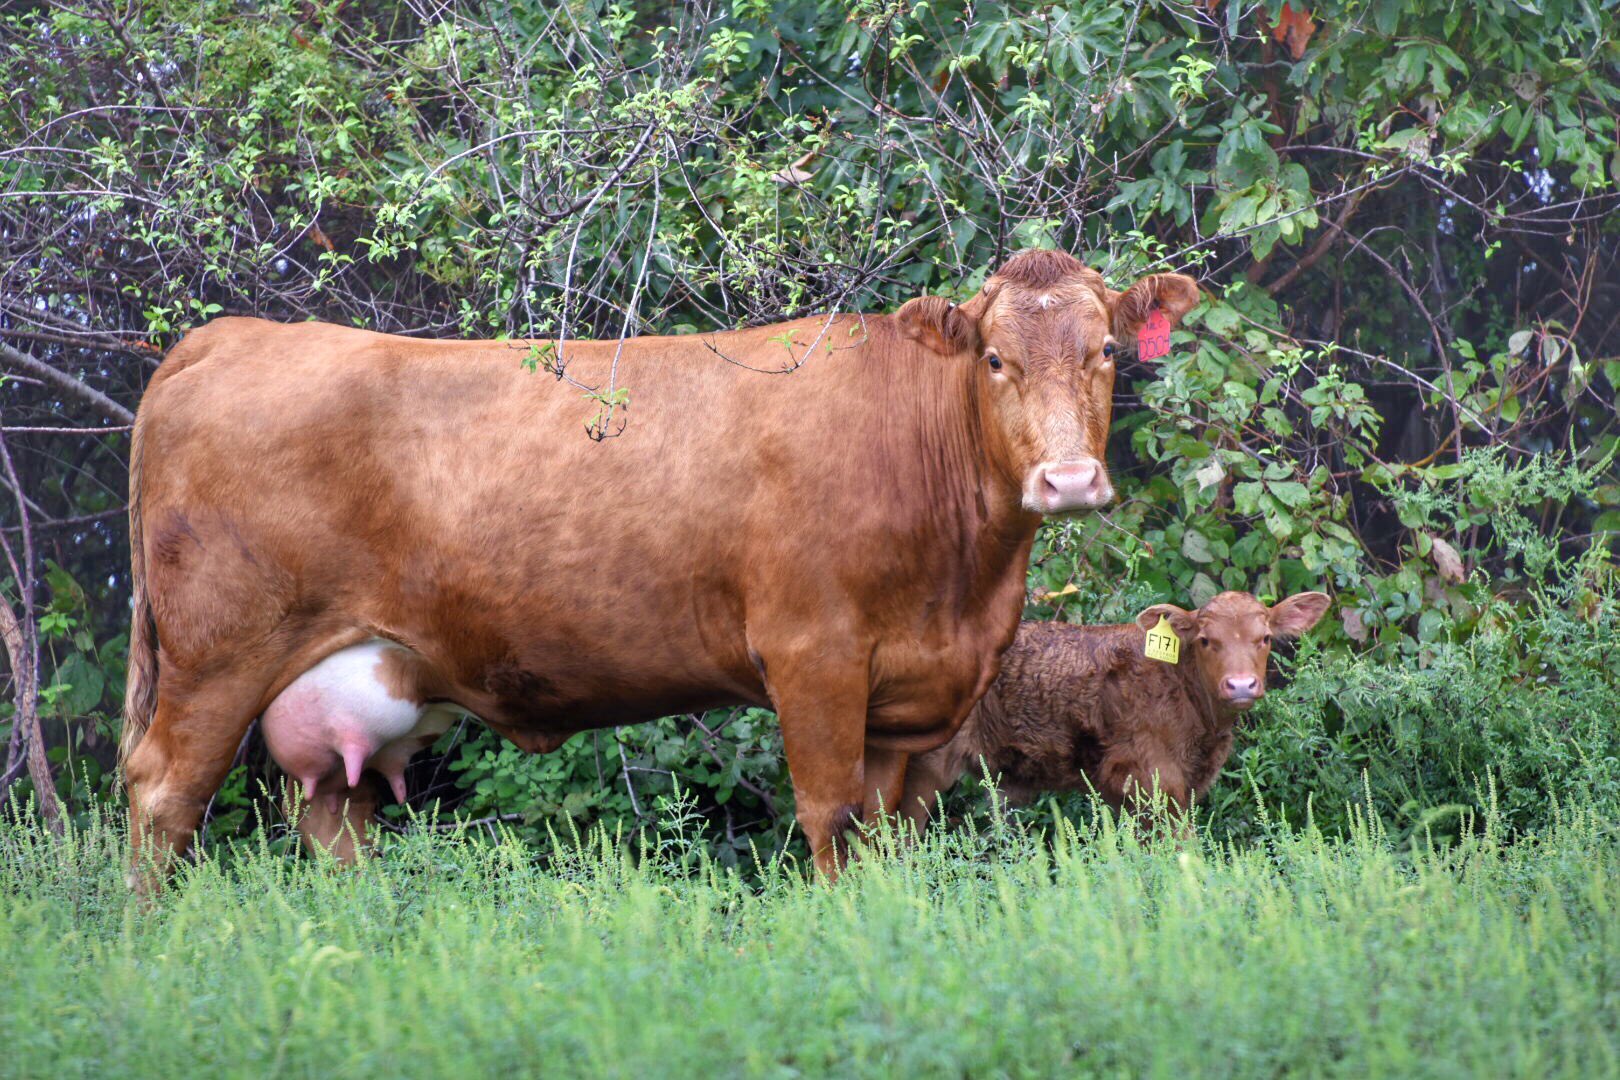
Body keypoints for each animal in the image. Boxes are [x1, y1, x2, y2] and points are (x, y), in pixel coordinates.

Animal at [119, 249, 1200, 892]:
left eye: (1109, 349)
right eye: (994, 360)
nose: (1069, 479)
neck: (966, 590)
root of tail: (230, 335)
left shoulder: (905, 695)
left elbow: (886, 827)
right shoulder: (813, 654)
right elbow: (831, 814)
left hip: (346, 678)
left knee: (331, 817)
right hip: (218, 657)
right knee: (161, 793)